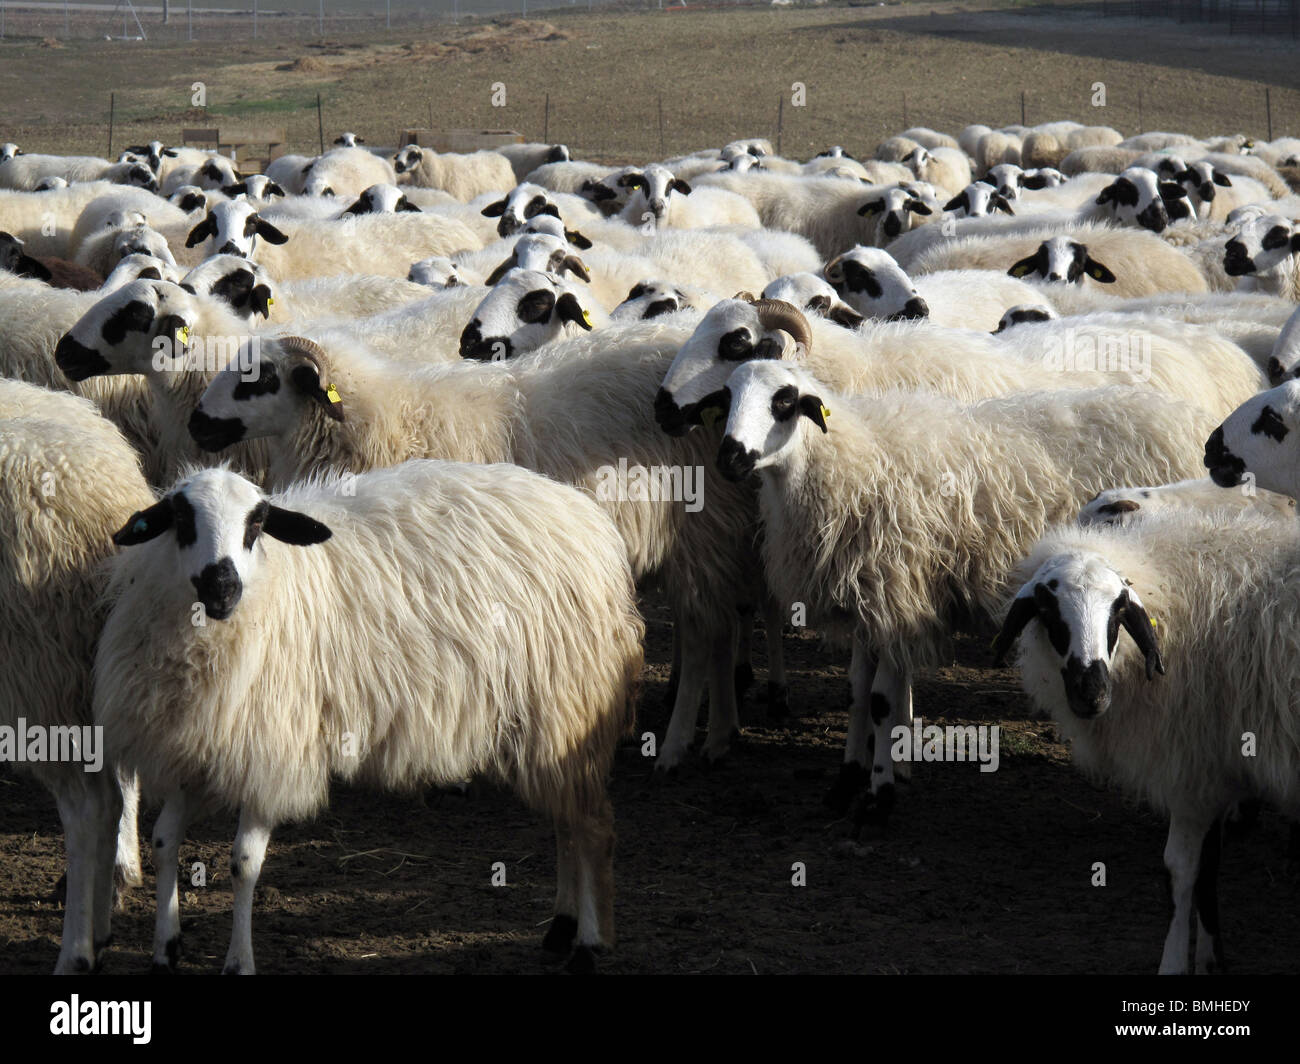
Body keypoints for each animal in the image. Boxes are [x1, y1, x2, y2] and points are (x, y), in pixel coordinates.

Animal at [96, 460, 642, 974]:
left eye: (258, 523)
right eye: (180, 519)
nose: (222, 587)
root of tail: (586, 516)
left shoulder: (270, 755)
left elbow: (243, 864)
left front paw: (238, 962)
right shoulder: (194, 747)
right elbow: (164, 842)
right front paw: (164, 951)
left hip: (568, 706)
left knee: (595, 826)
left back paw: (588, 945)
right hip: (545, 722)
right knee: (567, 820)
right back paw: (561, 927)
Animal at [712, 357, 1216, 824]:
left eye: (783, 400)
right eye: (728, 395)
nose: (728, 459)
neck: (851, 462)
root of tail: (1193, 419)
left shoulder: (898, 599)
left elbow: (881, 702)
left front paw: (878, 798)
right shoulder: (868, 601)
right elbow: (856, 693)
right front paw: (846, 783)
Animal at [991, 508, 1300, 972]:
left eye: (1117, 610)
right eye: (1049, 609)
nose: (1092, 692)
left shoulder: (1191, 770)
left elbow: (1179, 873)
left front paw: (1173, 963)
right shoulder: (1217, 768)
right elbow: (1208, 870)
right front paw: (1211, 959)